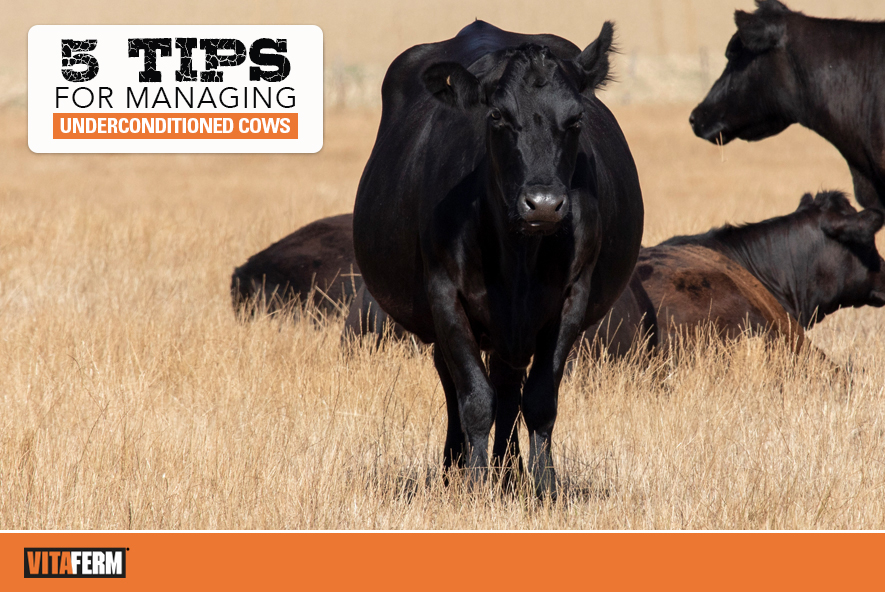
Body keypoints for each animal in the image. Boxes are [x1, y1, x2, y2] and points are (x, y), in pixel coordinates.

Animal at [351, 20, 644, 496]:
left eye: (576, 119)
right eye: (497, 116)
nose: (543, 204)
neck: (517, 258)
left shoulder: (571, 297)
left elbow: (539, 399)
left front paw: (544, 487)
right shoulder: (445, 295)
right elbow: (474, 398)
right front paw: (473, 484)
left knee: (508, 387)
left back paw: (509, 473)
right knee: (456, 383)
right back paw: (457, 469)